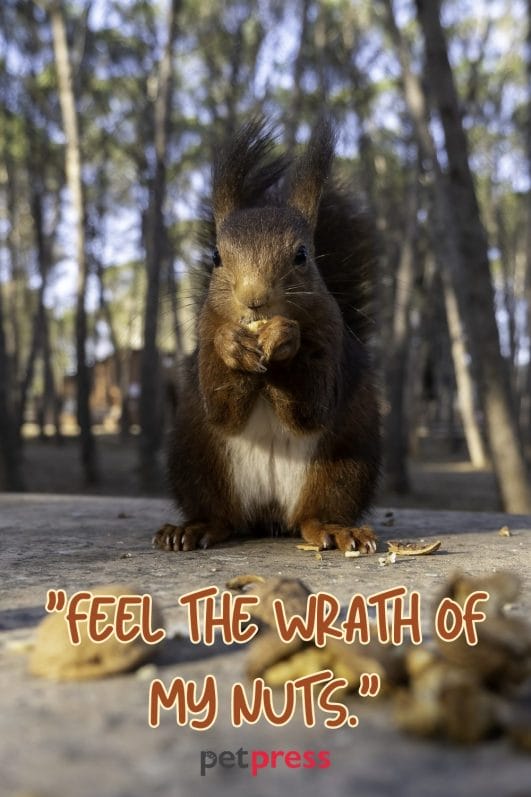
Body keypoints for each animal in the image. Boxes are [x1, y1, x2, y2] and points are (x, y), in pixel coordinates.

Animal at [153, 118, 381, 554]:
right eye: (216, 257)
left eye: (302, 255)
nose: (253, 299)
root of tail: (269, 514)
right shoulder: (204, 330)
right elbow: (221, 408)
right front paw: (232, 345)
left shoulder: (330, 335)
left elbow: (313, 406)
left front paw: (285, 339)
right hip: (196, 462)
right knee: (220, 515)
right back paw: (193, 528)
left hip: (344, 465)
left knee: (317, 512)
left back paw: (335, 529)